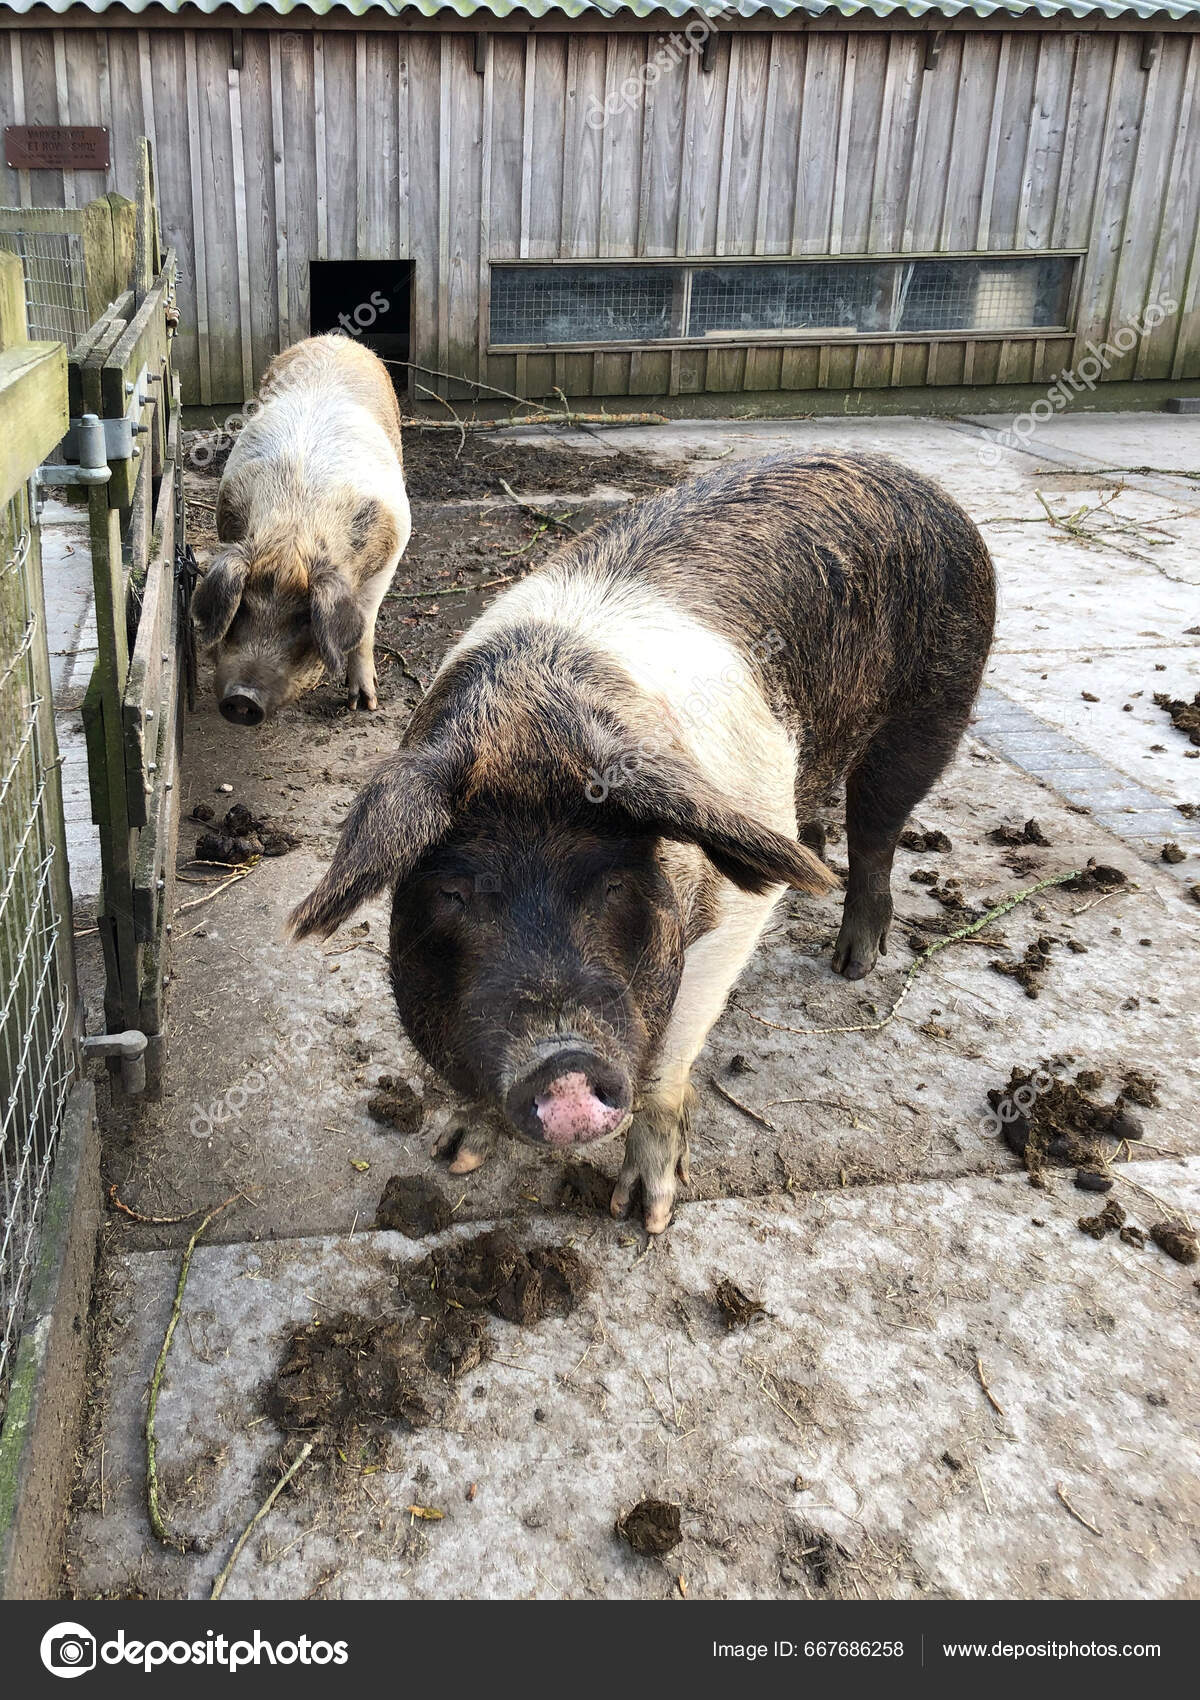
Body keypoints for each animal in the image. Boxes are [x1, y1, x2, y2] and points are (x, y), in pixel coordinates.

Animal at [192, 334, 411, 724]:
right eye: (242, 608)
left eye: (303, 619)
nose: (243, 699)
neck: (295, 530)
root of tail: (334, 337)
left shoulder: (393, 548)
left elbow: (365, 625)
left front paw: (363, 704)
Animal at [290, 451, 995, 1232]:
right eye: (452, 893)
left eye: (616, 883)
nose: (564, 1067)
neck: (526, 724)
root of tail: (914, 477)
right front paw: (457, 1157)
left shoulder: (731, 920)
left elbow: (668, 1061)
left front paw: (645, 1214)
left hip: (931, 713)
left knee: (877, 831)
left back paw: (852, 965)